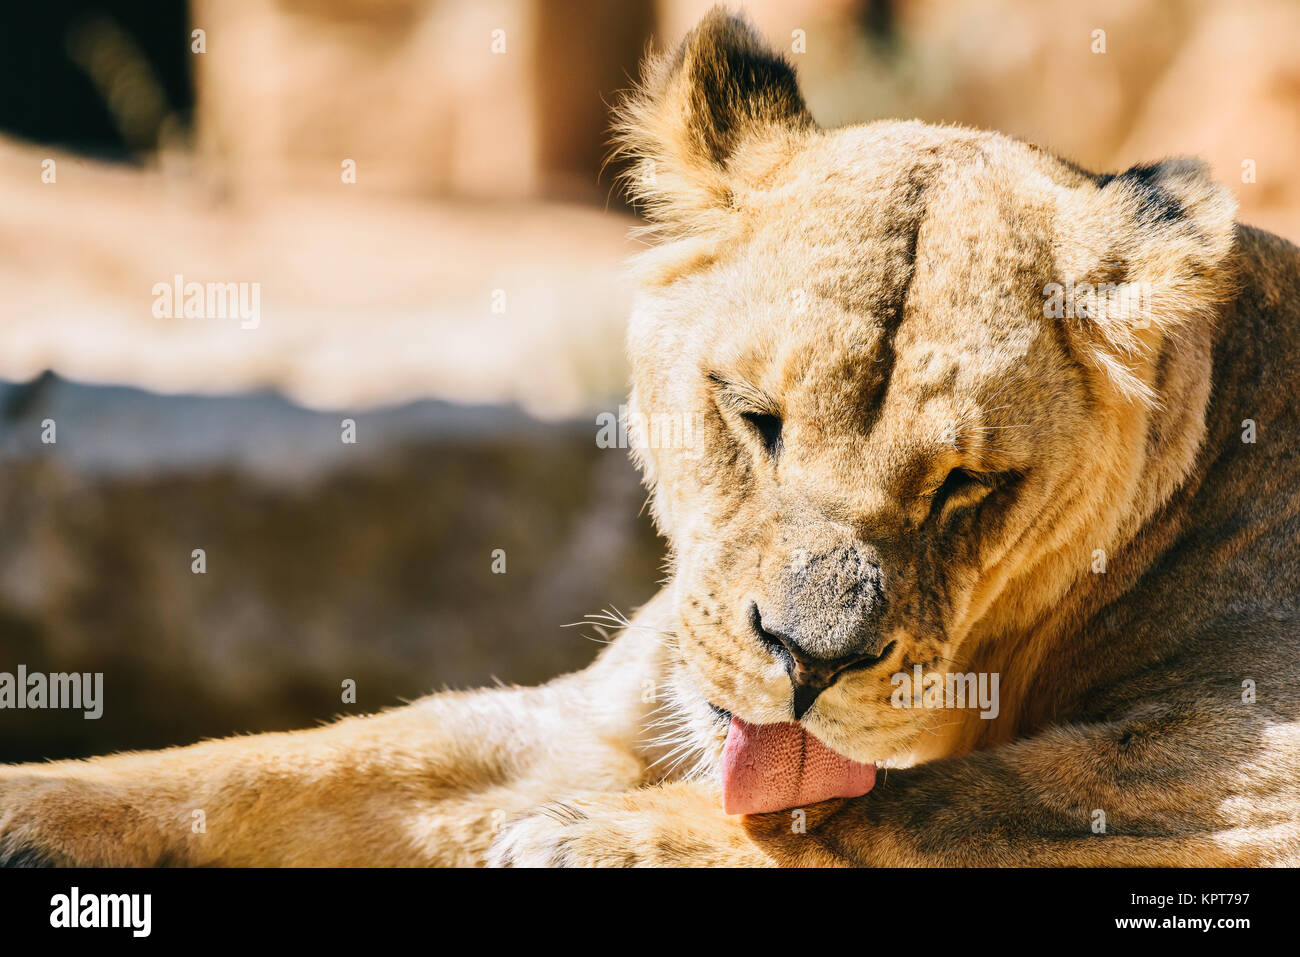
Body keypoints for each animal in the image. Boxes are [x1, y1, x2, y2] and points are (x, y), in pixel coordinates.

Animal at [3, 9, 1299, 867]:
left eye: (967, 483)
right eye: (753, 417)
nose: (807, 663)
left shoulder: (1249, 779)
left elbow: (932, 815)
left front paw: (588, 838)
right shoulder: (605, 706)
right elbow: (289, 759)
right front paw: (37, 809)